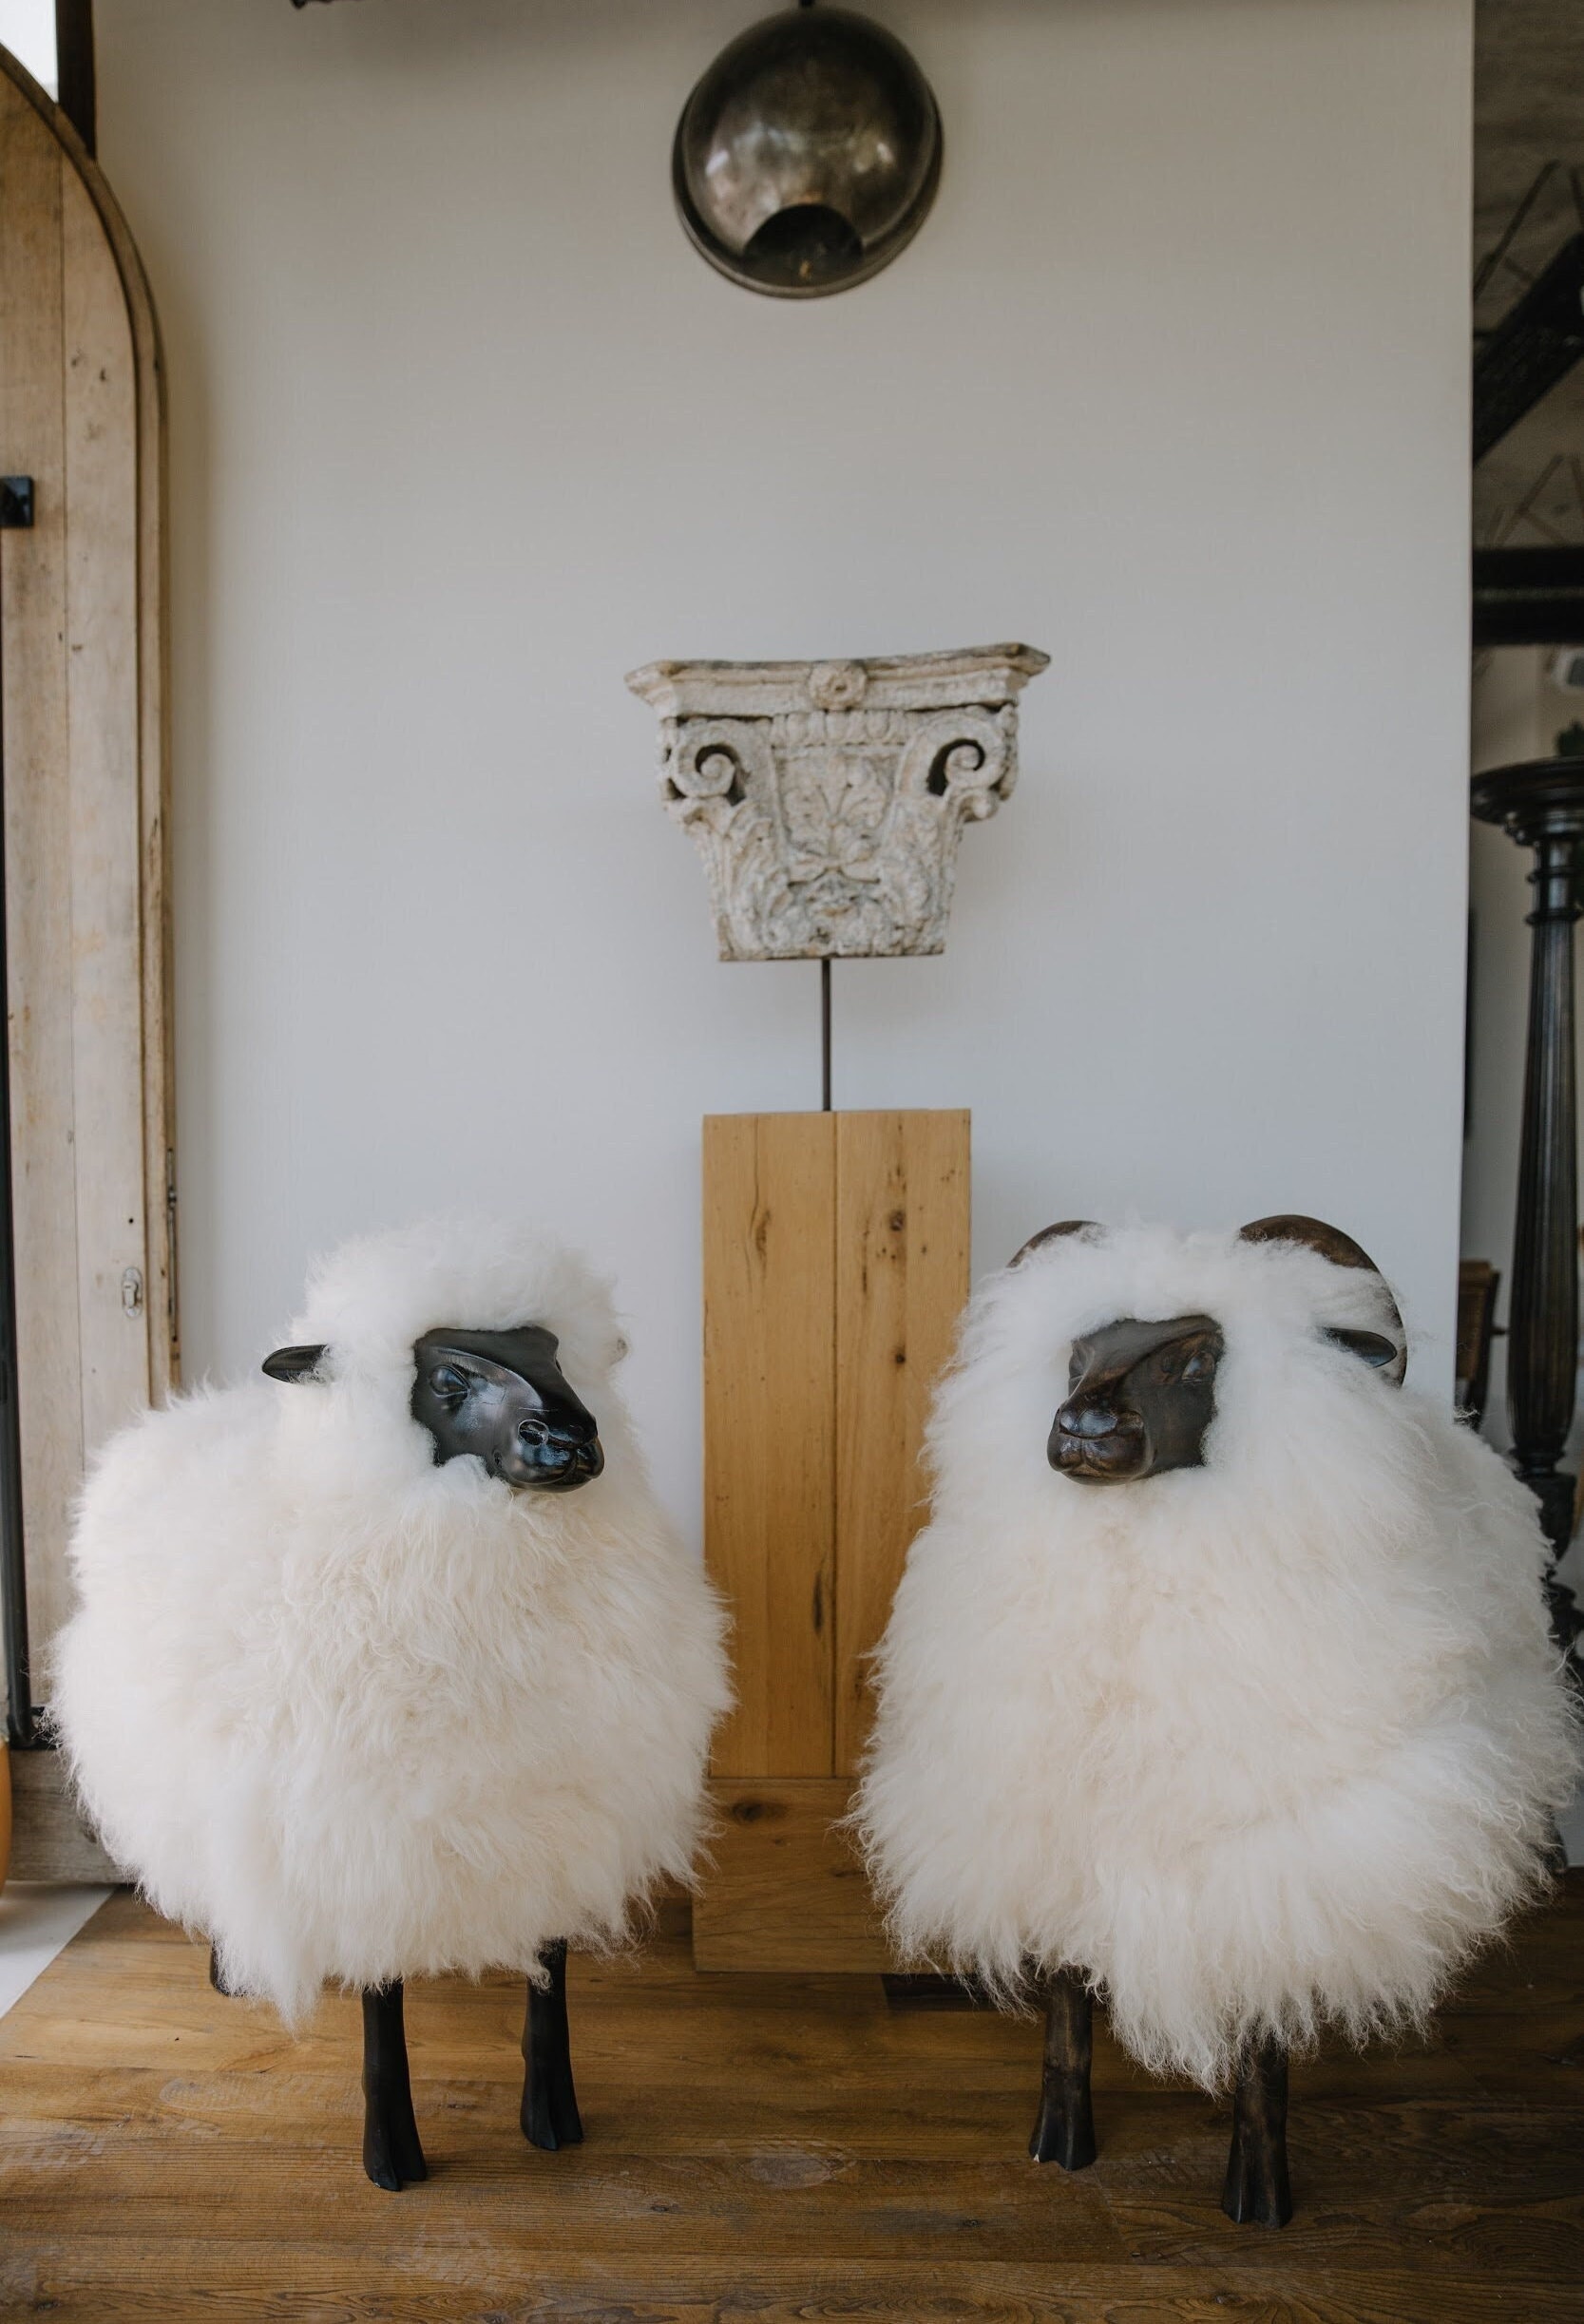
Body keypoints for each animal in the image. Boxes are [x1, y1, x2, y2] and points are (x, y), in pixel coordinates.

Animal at [51, 1218, 731, 2190]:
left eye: (556, 1352)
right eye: (447, 1380)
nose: (571, 1438)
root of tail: (182, 1414)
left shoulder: (560, 1816)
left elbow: (549, 1981)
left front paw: (552, 2117)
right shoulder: (366, 1833)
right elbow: (383, 2017)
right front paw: (391, 2154)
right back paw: (234, 1970)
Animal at [855, 1214, 1579, 2226]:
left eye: (1197, 1360)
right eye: (1074, 1353)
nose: (1081, 1428)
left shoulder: (1266, 1871)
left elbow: (1260, 2042)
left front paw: (1258, 2194)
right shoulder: (1051, 1829)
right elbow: (1066, 2010)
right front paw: (1059, 2144)